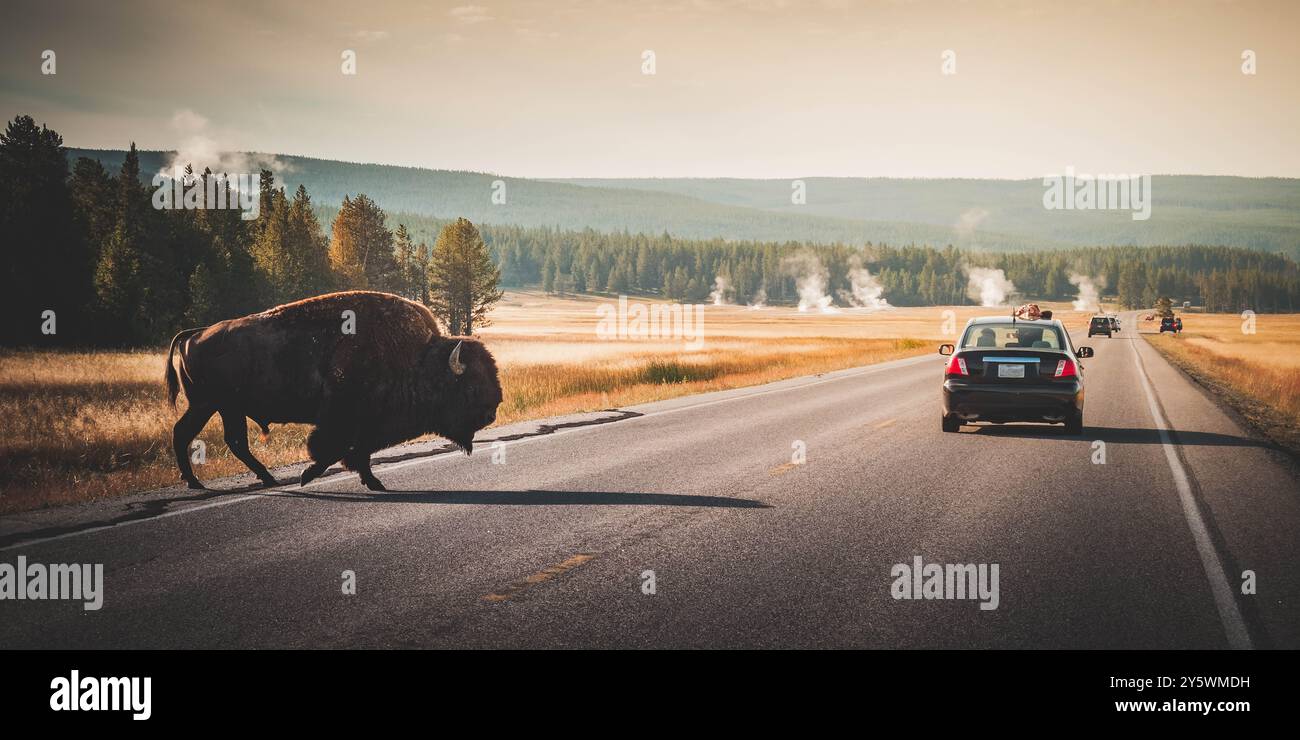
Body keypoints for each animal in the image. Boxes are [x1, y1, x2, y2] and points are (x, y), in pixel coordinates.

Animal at [165, 291, 502, 491]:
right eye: (471, 385)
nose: (492, 412)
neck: (418, 358)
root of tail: (195, 334)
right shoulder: (342, 418)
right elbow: (333, 449)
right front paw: (308, 475)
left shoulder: (368, 425)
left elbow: (358, 452)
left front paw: (372, 482)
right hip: (211, 405)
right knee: (198, 435)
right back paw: (202, 482)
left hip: (219, 407)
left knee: (222, 439)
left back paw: (258, 478)